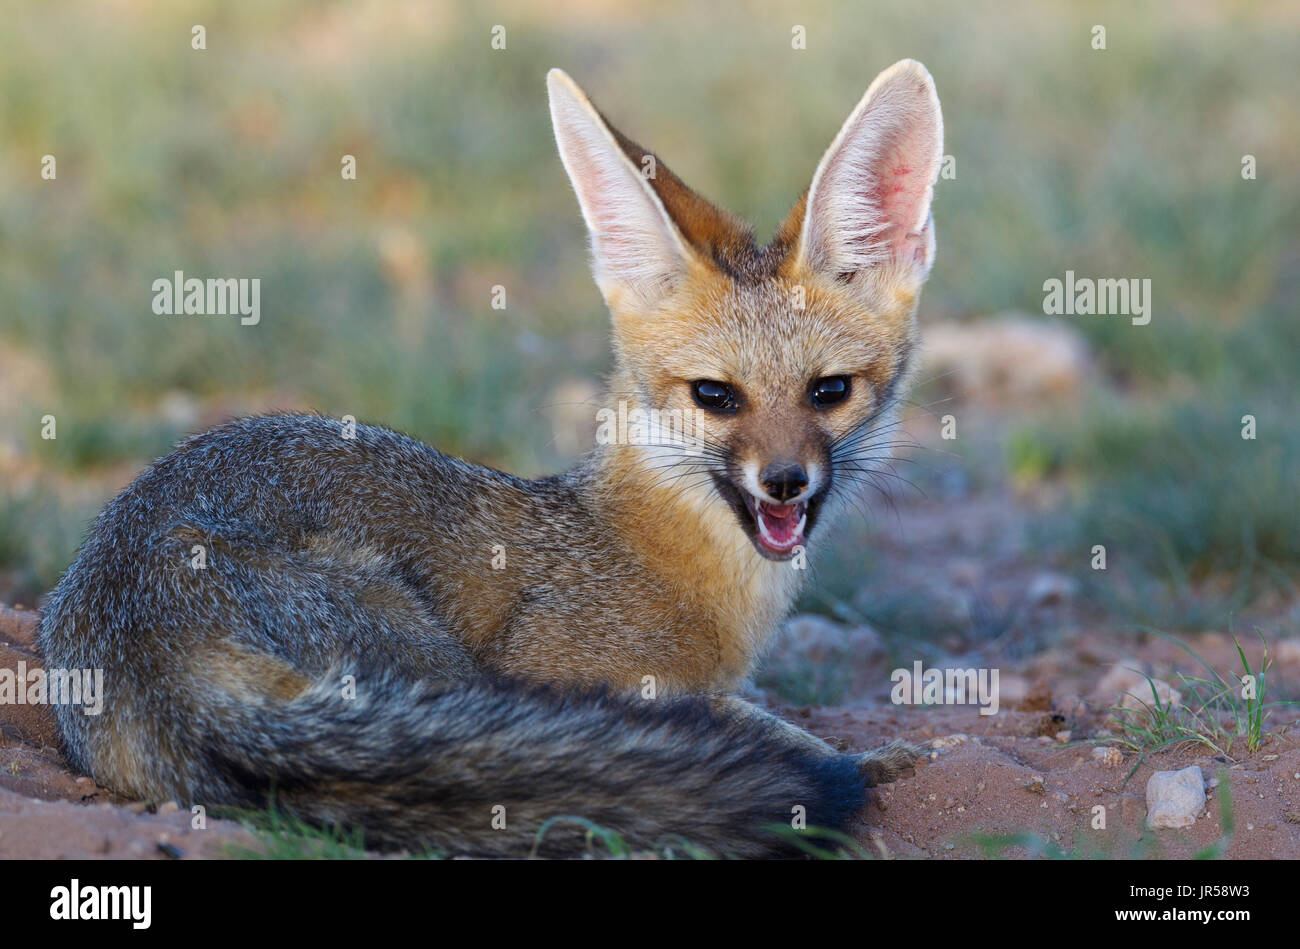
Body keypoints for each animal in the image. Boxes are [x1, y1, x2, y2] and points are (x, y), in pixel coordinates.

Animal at [37, 60, 944, 858]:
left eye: (829, 391)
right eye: (716, 395)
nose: (785, 481)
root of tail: (145, 635)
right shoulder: (563, 672)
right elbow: (748, 721)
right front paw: (862, 757)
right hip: (430, 652)